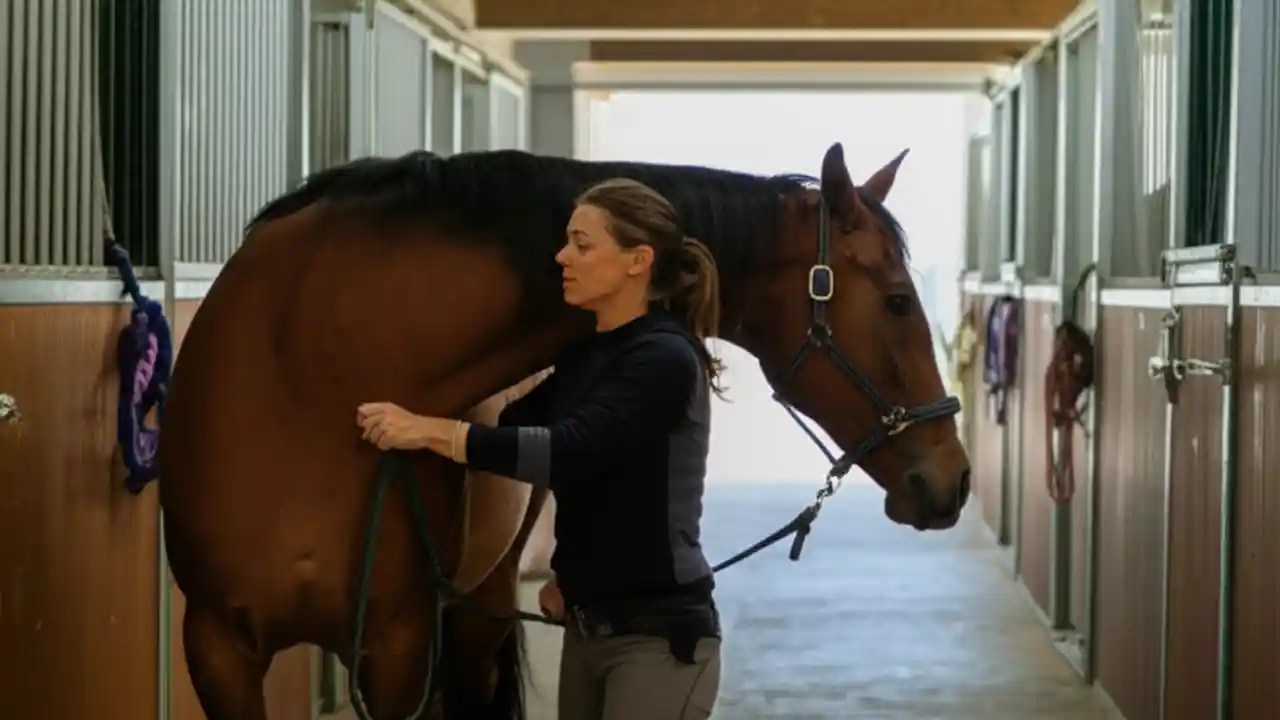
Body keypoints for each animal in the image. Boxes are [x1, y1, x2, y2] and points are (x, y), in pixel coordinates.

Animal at [157, 141, 972, 719]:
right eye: (899, 301)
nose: (955, 479)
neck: (312, 365)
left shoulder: (399, 646)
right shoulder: (217, 647)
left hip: (475, 611)